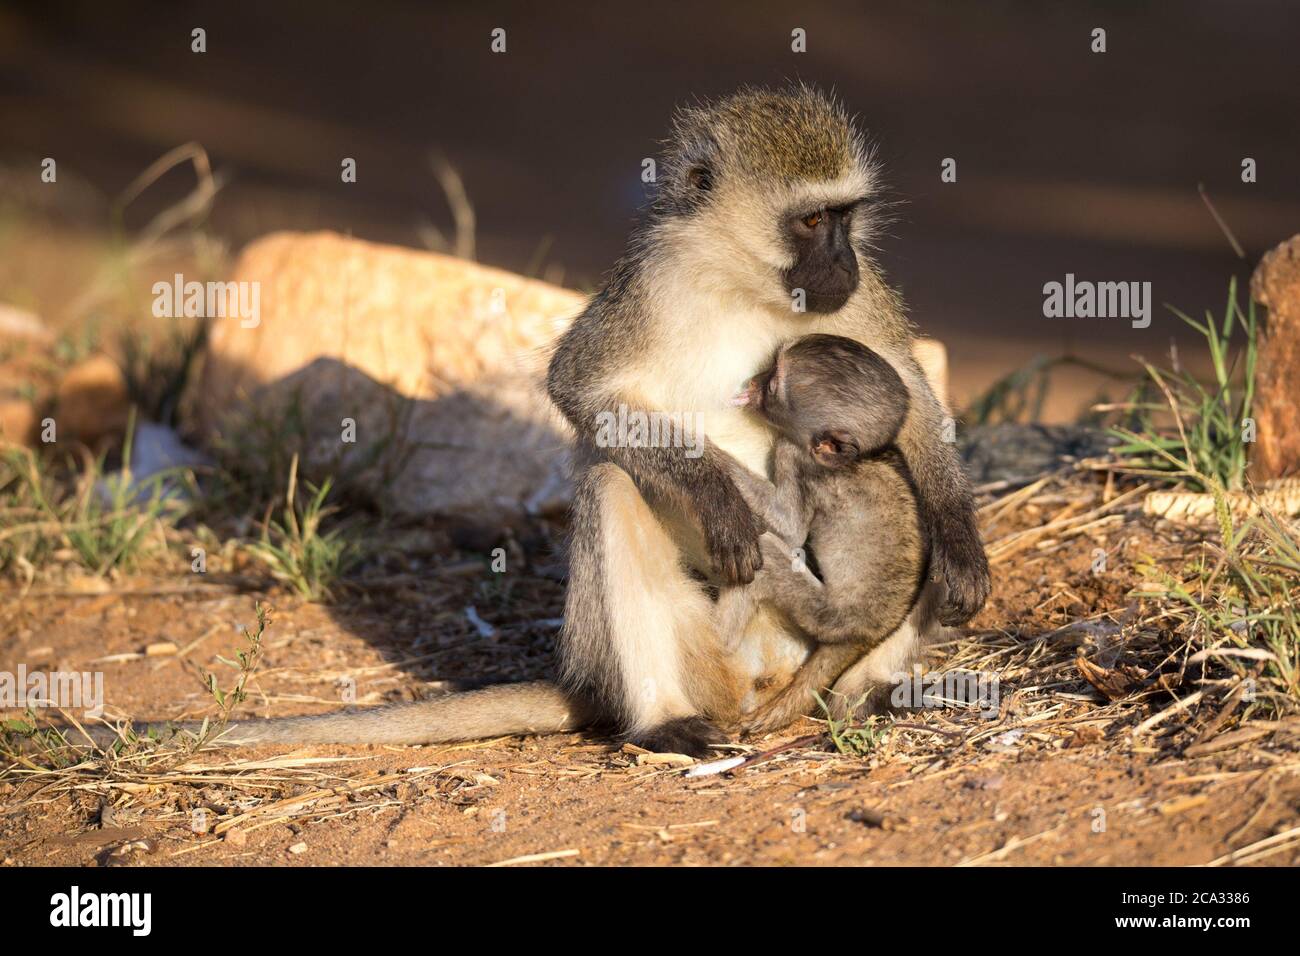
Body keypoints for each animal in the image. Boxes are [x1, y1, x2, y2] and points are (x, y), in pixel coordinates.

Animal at [712, 334, 930, 734]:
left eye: (772, 384)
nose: (753, 382)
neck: (859, 458)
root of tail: (866, 634)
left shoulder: (793, 453)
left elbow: (789, 528)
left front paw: (698, 447)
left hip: (828, 616)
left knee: (766, 555)